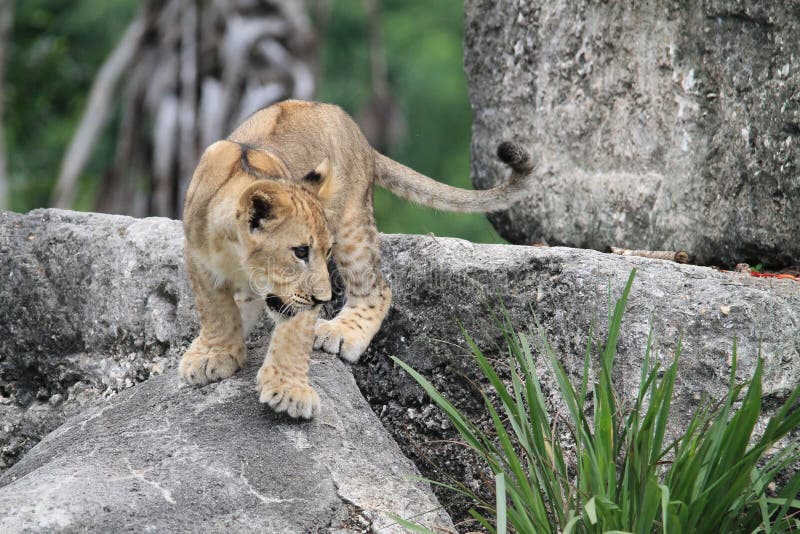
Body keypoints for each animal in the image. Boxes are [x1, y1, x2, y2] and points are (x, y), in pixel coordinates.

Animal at [179, 100, 533, 418]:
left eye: (325, 252)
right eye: (300, 252)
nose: (323, 298)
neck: (237, 254)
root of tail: (356, 132)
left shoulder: (303, 296)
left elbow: (293, 334)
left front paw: (290, 391)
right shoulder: (197, 260)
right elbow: (216, 311)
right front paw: (214, 354)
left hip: (352, 224)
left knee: (379, 288)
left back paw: (340, 332)